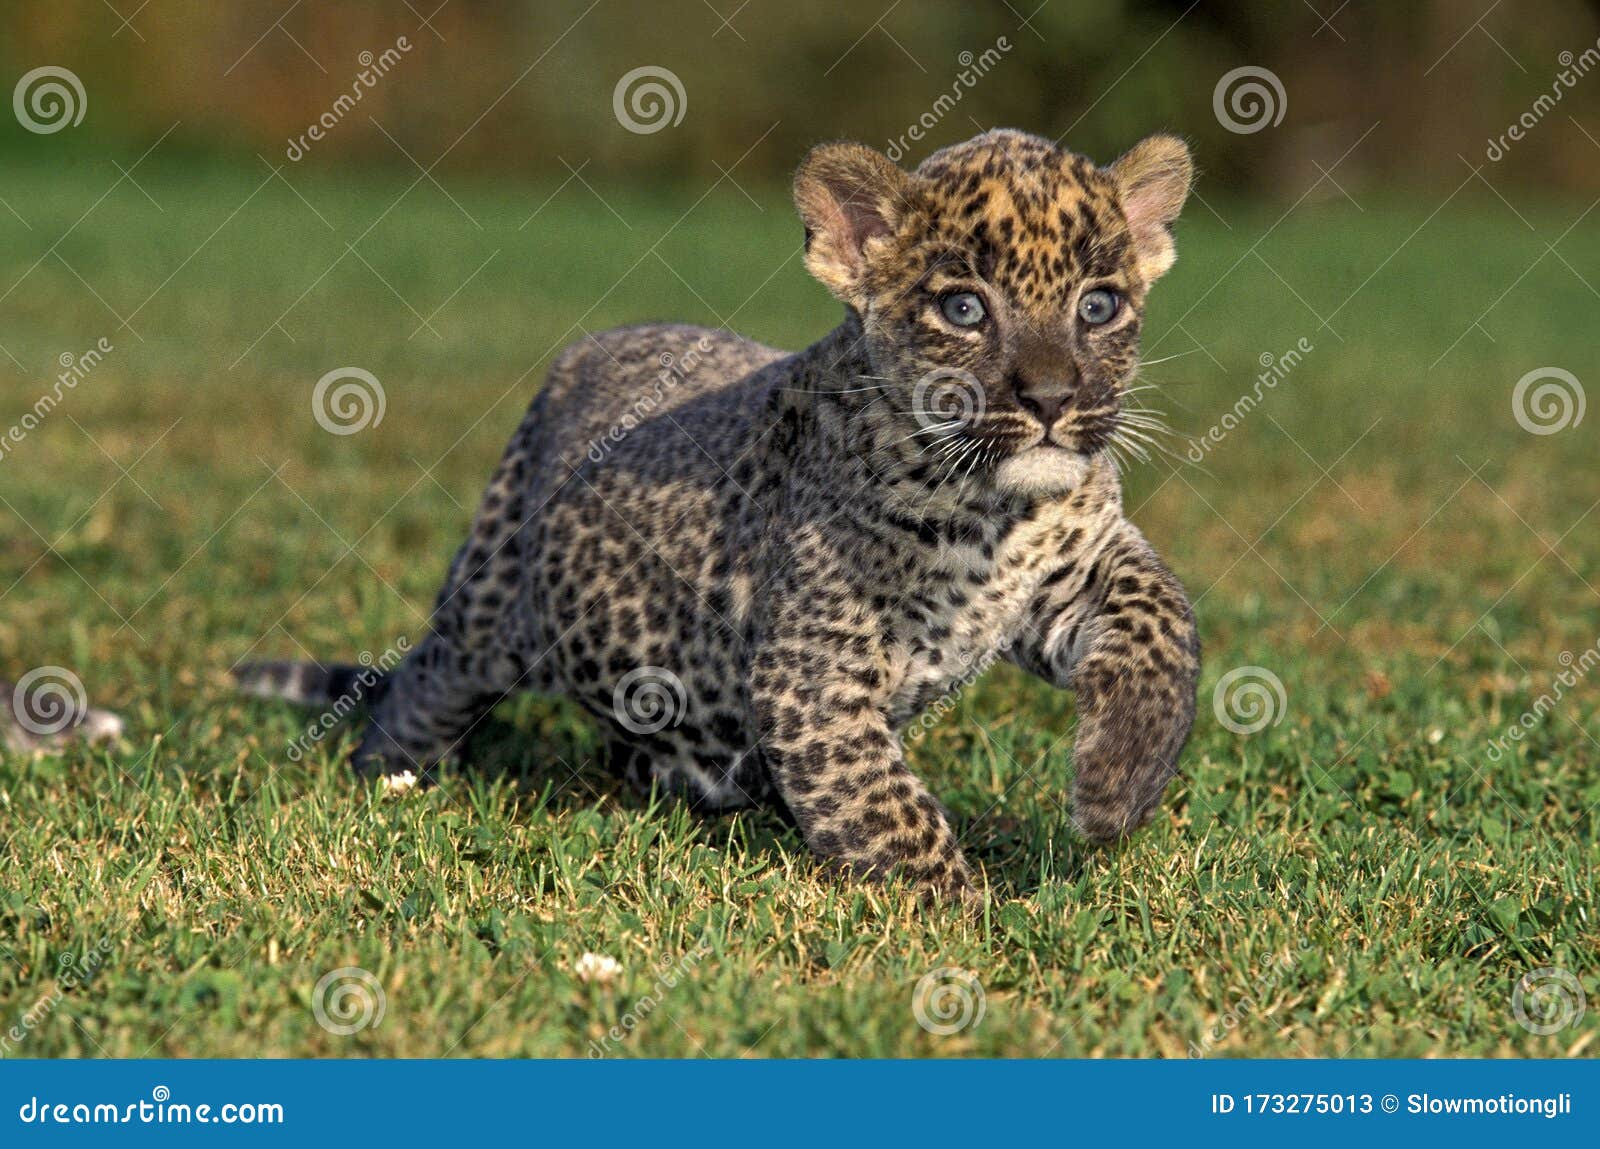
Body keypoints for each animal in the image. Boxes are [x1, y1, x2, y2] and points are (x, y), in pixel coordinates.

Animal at [236, 128, 1202, 901]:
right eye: (964, 307)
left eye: (1100, 305)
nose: (1052, 397)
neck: (992, 510)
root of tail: (594, 346)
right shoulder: (815, 670)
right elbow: (884, 808)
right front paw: (969, 921)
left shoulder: (1080, 563)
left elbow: (1166, 621)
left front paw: (1117, 784)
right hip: (489, 602)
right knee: (425, 683)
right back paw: (392, 781)